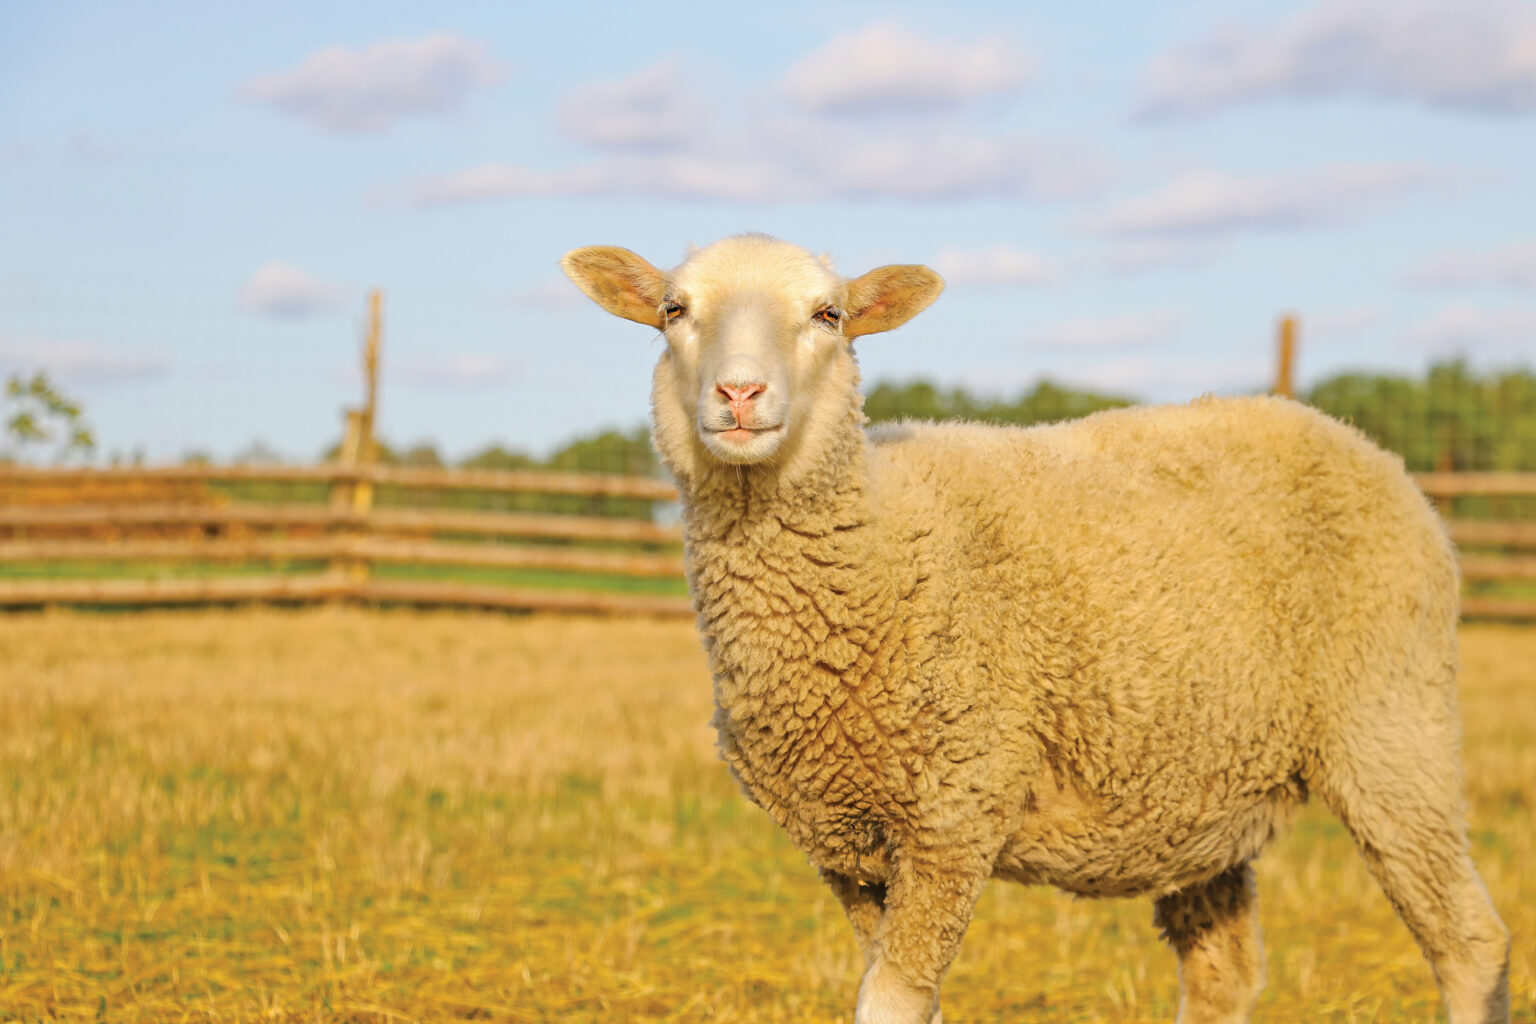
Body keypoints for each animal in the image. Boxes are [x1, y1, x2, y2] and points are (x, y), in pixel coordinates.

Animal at [560, 233, 1510, 1024]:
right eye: (674, 309)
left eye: (829, 314)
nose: (740, 393)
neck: (878, 536)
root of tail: (1358, 442)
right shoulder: (851, 846)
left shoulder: (955, 806)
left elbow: (892, 1003)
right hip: (1203, 789)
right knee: (1226, 974)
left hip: (1390, 721)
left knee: (1472, 944)